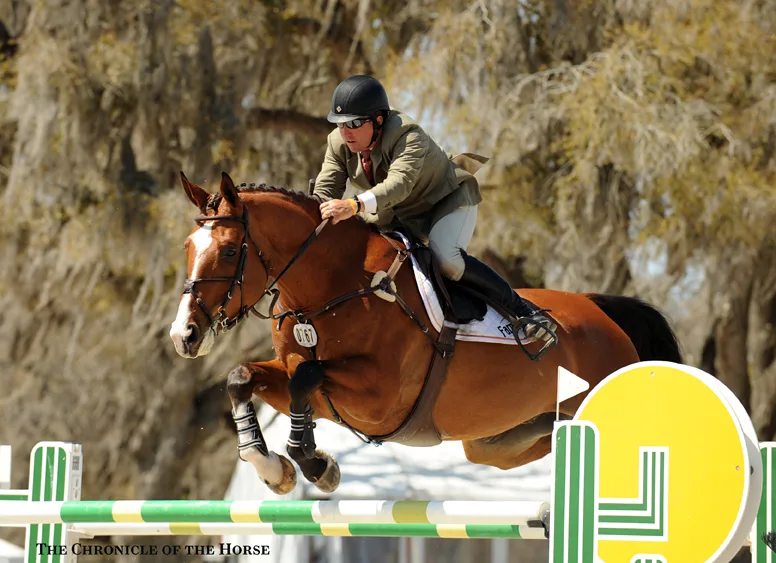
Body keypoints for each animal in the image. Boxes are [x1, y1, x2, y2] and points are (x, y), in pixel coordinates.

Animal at [169, 171, 683, 496]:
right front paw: (276, 469)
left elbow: (305, 379)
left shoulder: (381, 399)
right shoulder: (307, 380)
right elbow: (244, 377)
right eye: (188, 246)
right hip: (498, 444)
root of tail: (604, 314)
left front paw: (316, 465)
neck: (334, 286)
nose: (183, 336)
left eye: (230, 249)